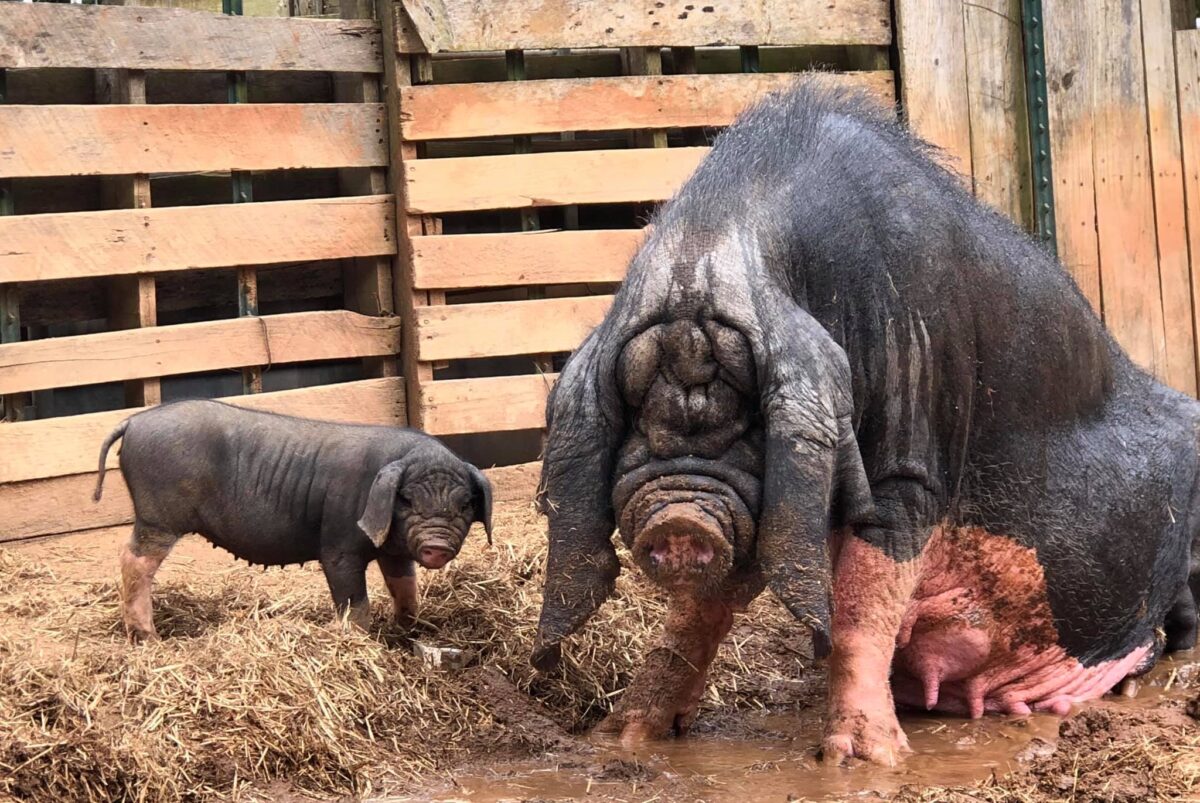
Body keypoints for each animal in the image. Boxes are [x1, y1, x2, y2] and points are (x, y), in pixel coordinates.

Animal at [93, 400, 492, 642]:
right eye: (407, 500)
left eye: (464, 504)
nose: (436, 545)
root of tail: (134, 421)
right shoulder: (338, 546)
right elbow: (355, 604)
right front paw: (356, 639)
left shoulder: (393, 550)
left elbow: (405, 590)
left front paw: (409, 632)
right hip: (158, 515)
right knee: (132, 559)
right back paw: (150, 638)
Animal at [530, 79, 1200, 765]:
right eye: (639, 408)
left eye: (747, 414)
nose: (681, 516)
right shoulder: (763, 508)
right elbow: (697, 613)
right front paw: (623, 738)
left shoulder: (914, 452)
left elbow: (861, 604)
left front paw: (862, 760)